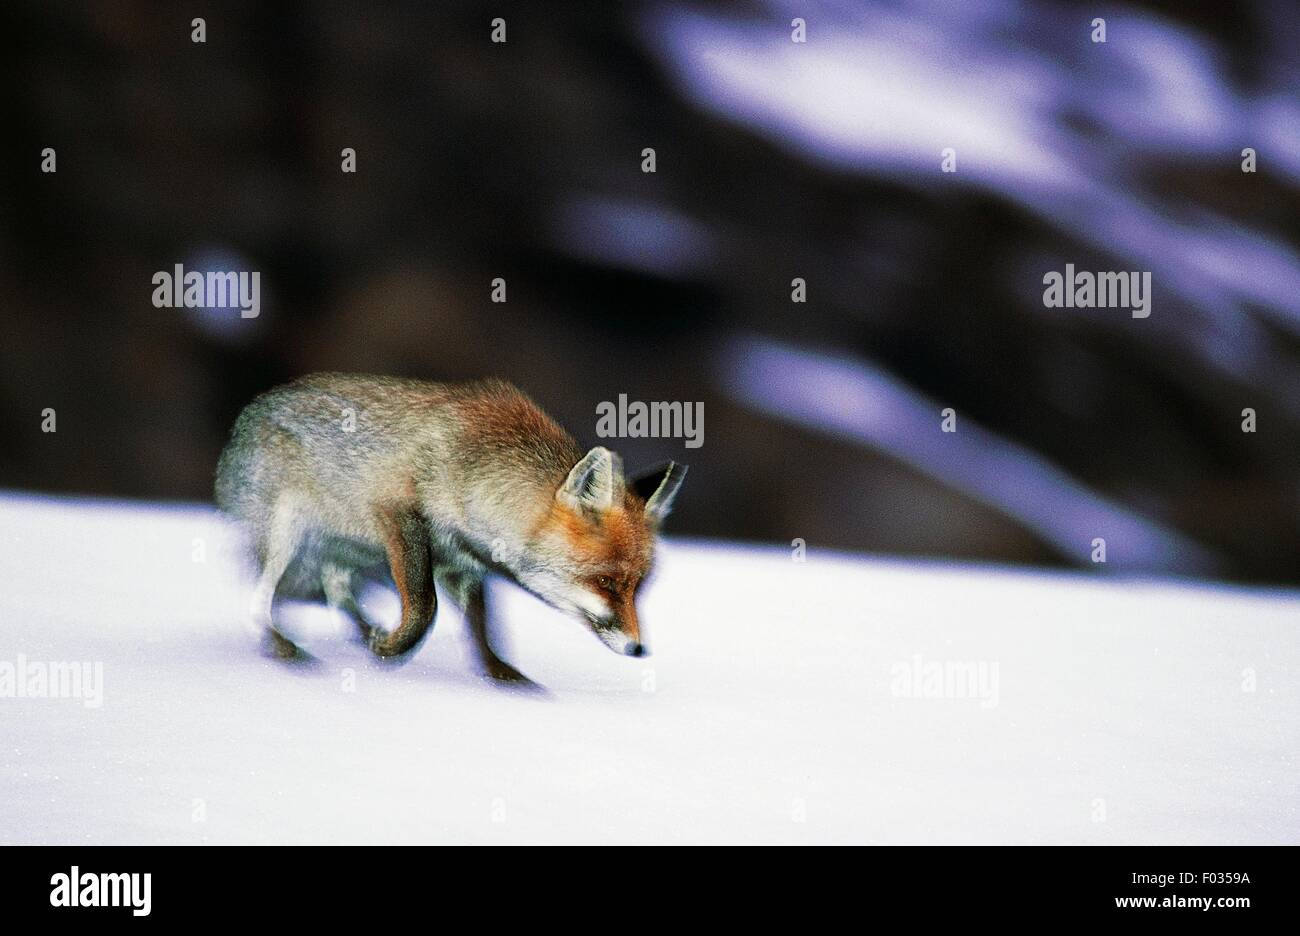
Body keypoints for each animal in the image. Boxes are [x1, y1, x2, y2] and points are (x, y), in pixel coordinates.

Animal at [214, 373, 686, 684]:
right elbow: (426, 606)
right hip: (288, 533)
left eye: (637, 587)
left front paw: (500, 675)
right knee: (259, 600)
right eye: (605, 582)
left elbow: (481, 622)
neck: (475, 469)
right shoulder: (397, 515)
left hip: (349, 551)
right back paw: (280, 645)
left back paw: (364, 633)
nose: (639, 648)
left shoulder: (462, 560)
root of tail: (249, 412)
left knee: (336, 589)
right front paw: (396, 648)